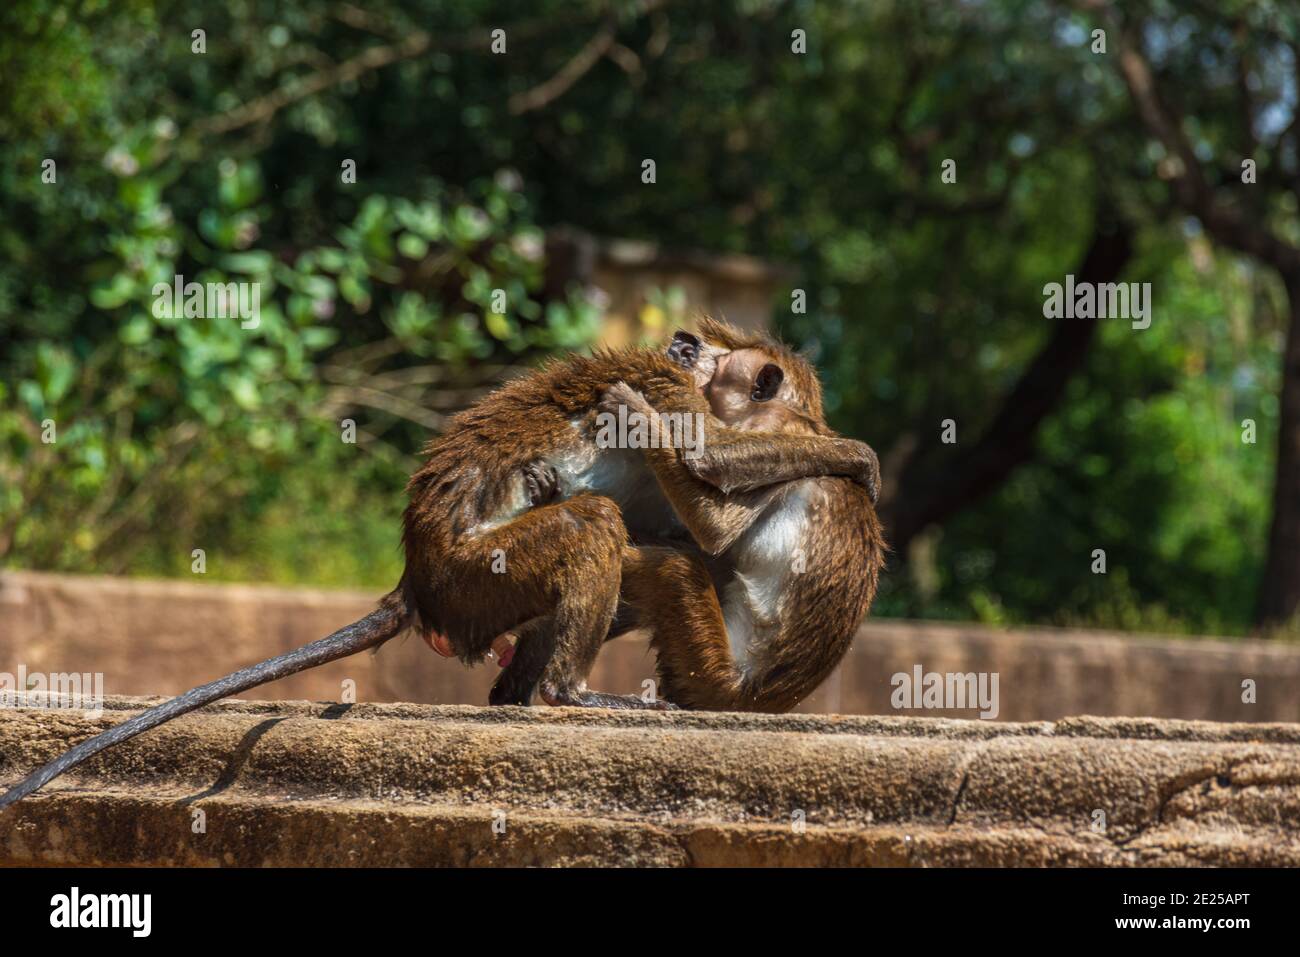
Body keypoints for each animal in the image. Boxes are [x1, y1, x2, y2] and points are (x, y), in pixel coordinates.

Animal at [0, 327, 880, 808]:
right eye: (694, 348)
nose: (685, 343)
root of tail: (418, 577)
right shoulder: (667, 386)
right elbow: (708, 461)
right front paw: (846, 452)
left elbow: (708, 500)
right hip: (474, 571)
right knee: (596, 524)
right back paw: (563, 692)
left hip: (475, 584)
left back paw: (525, 690)